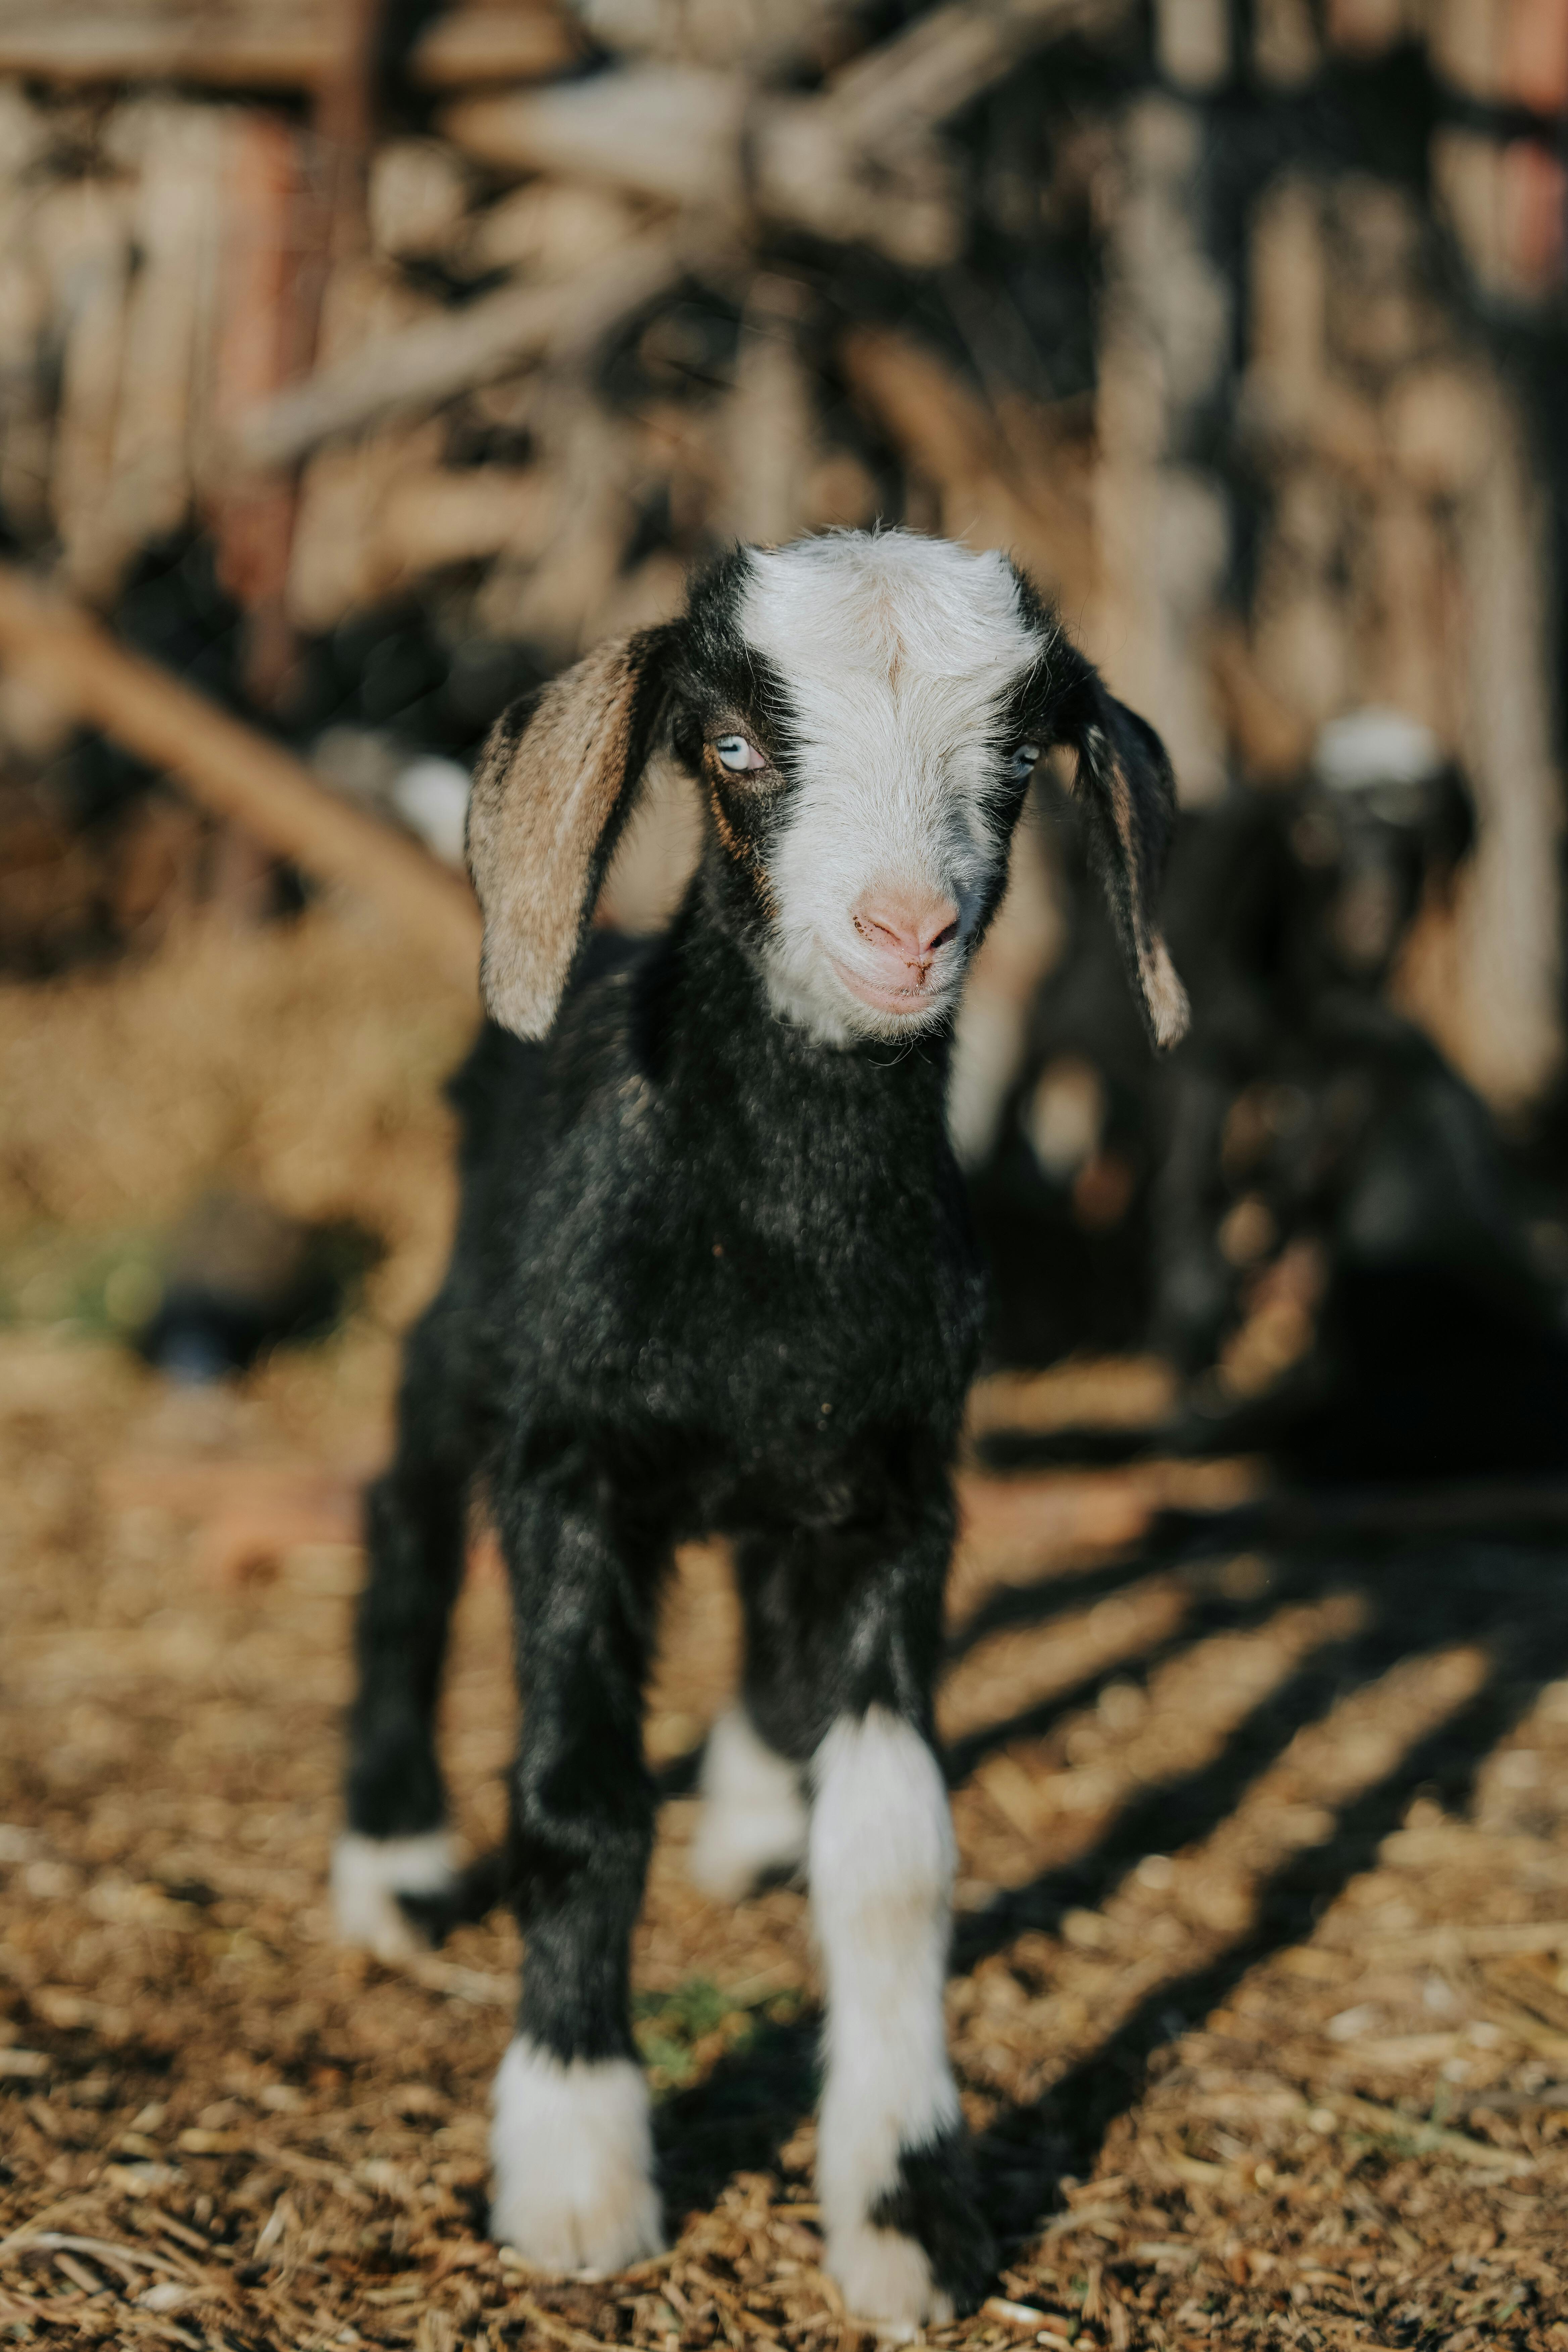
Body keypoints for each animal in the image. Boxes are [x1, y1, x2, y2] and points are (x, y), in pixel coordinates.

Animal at [330, 530, 1186, 2330]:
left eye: (1016, 759)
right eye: (731, 747)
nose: (903, 930)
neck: (770, 1241)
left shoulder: (894, 1497)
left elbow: (897, 1850)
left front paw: (905, 2207)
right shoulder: (572, 1467)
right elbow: (577, 1802)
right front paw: (574, 2167)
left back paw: (745, 1804)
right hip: (467, 1322)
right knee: (401, 1513)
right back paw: (388, 1852)